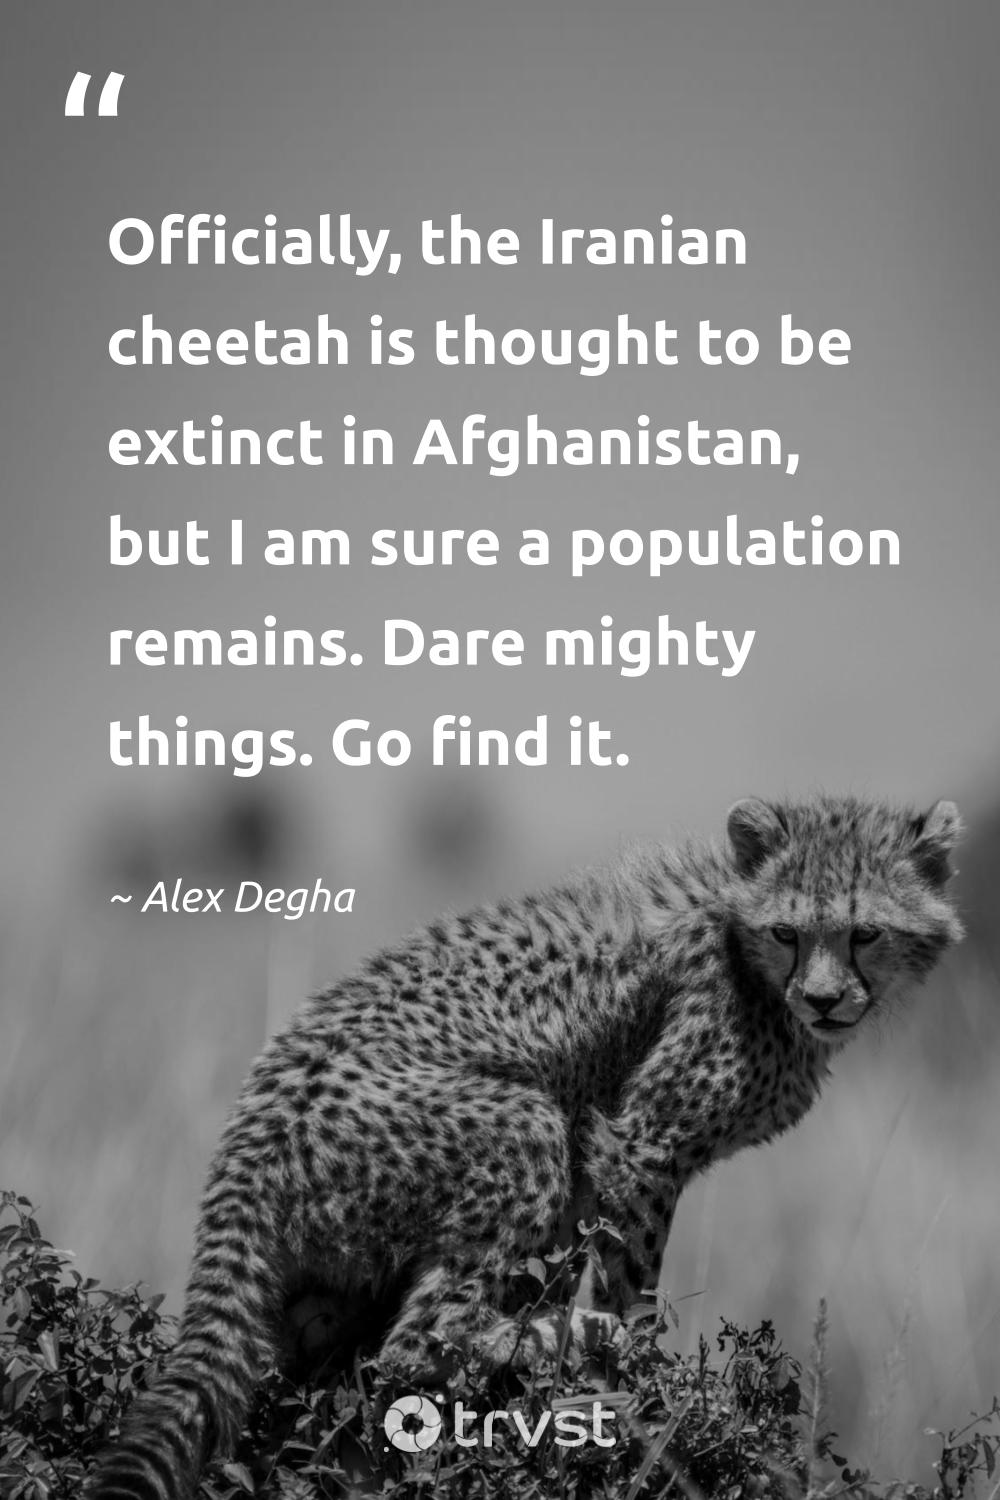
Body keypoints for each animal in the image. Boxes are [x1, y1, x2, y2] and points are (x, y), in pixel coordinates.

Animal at [88, 794, 963, 1500]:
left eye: (865, 933)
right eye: (787, 931)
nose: (823, 1000)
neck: (743, 952)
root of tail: (250, 1131)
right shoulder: (640, 1141)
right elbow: (630, 1280)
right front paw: (632, 1376)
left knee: (345, 1357)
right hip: (524, 1123)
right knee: (412, 1347)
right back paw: (558, 1342)